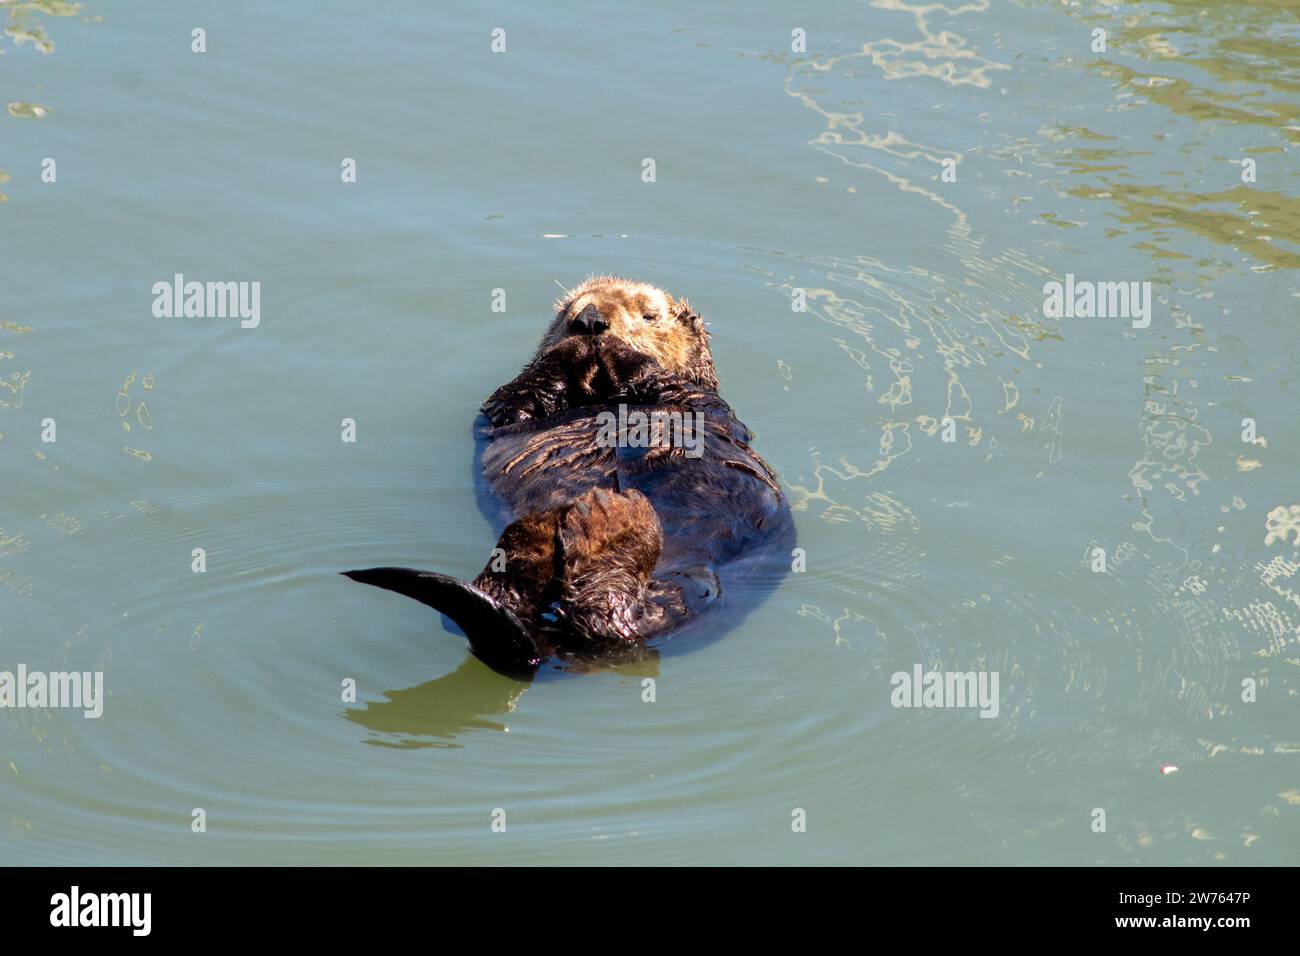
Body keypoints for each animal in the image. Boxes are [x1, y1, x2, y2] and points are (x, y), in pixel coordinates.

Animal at [344, 276, 794, 677]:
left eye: (649, 315)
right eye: (565, 312)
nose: (590, 319)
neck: (607, 397)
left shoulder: (700, 402)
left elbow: (673, 387)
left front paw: (613, 346)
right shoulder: (507, 411)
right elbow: (515, 397)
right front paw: (575, 343)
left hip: (699, 580)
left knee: (608, 619)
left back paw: (610, 521)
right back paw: (542, 537)